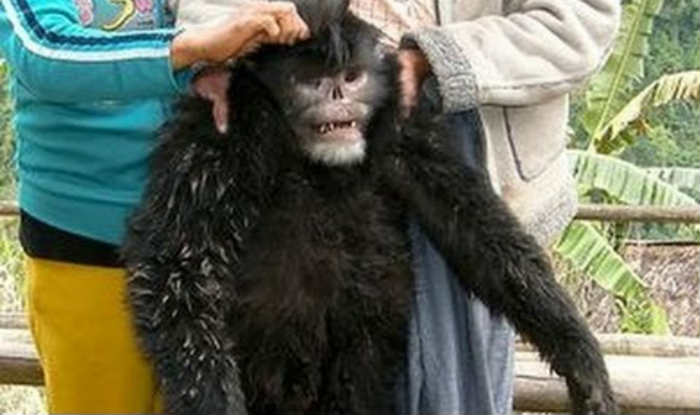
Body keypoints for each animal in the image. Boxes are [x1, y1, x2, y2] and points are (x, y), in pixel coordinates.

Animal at [122, 0, 618, 414]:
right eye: (314, 83)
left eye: (351, 78)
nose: (339, 99)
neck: (312, 161)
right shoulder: (220, 137)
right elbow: (179, 267)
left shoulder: (401, 126)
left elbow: (474, 227)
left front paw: (580, 357)